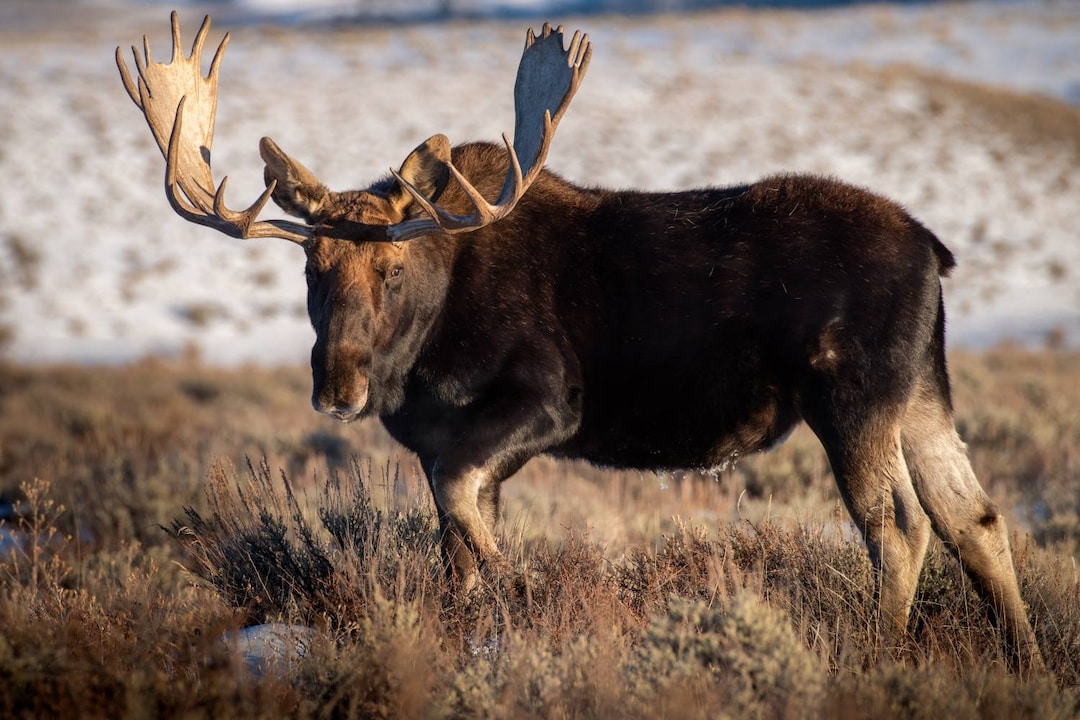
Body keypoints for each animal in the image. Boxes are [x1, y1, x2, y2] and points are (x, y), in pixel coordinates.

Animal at [117, 12, 1043, 672]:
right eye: (312, 265)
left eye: (393, 264)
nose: (336, 386)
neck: (419, 353)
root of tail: (935, 249)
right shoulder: (449, 441)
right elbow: (454, 543)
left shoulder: (546, 402)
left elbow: (466, 511)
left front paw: (536, 599)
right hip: (921, 393)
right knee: (976, 517)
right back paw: (1026, 662)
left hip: (851, 396)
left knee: (900, 527)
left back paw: (879, 655)